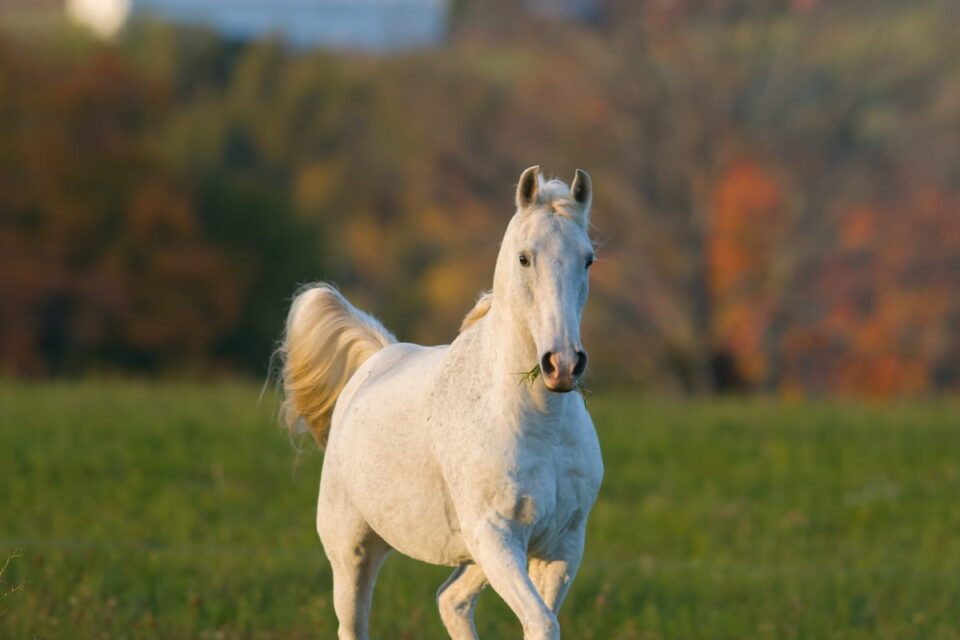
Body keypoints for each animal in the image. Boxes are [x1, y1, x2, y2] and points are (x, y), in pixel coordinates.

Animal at [280, 166, 604, 640]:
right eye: (524, 258)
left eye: (588, 259)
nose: (562, 364)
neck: (539, 426)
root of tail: (377, 358)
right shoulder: (496, 536)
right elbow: (543, 622)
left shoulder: (563, 545)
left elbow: (539, 618)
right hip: (354, 550)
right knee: (356, 623)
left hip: (473, 555)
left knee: (451, 600)